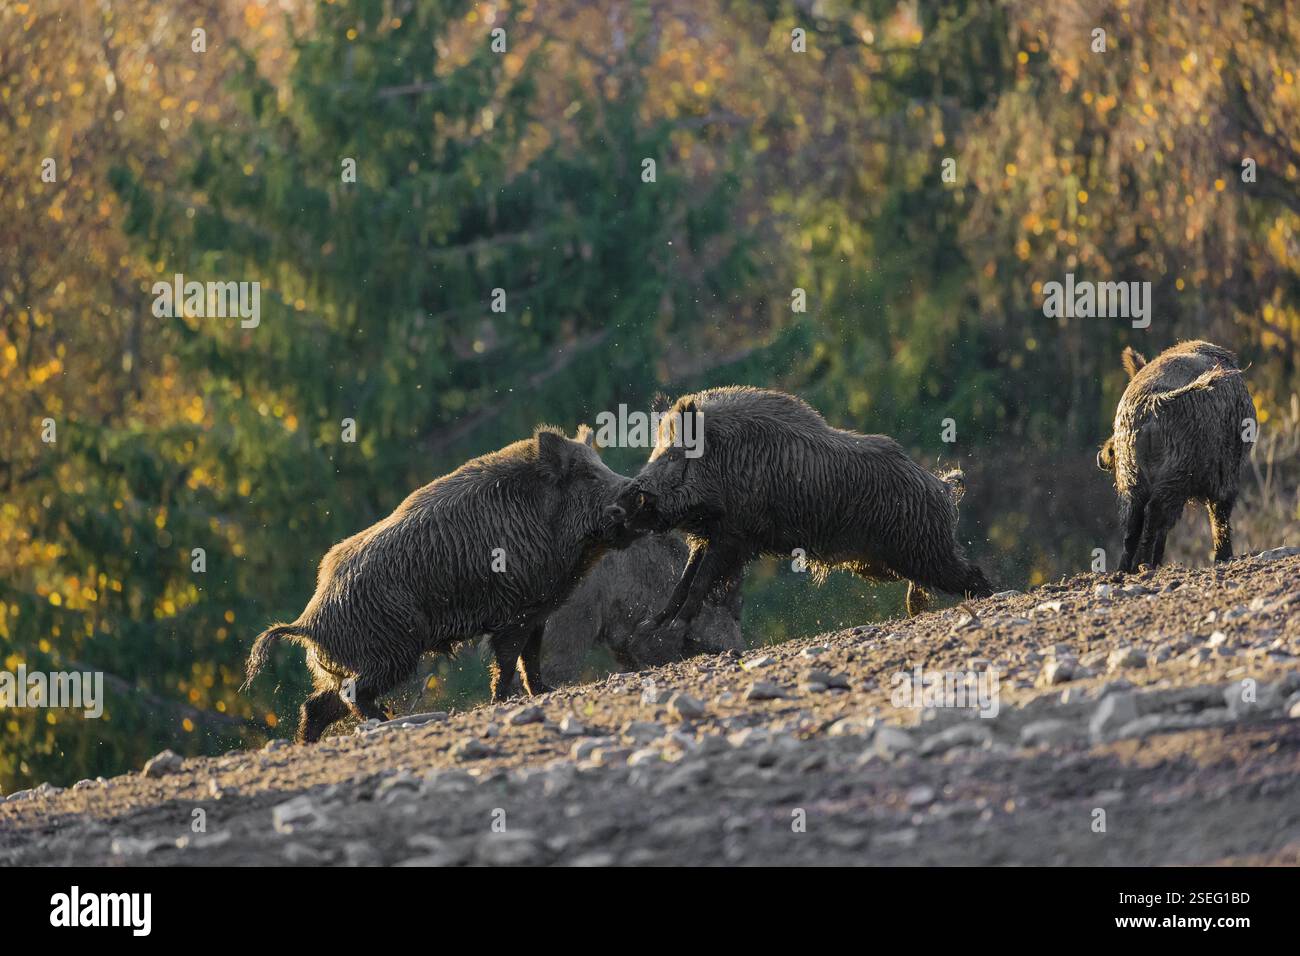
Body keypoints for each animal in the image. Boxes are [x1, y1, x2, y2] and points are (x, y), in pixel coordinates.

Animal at [242, 425, 636, 743]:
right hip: (392, 652)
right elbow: (508, 660)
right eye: (587, 474)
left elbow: (531, 659)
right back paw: (384, 719)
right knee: (349, 694)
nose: (632, 489)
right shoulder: (513, 615)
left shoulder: (537, 611)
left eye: (600, 466)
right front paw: (503, 700)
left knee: (316, 705)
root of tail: (307, 623)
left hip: (358, 662)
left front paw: (544, 691)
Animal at [607, 386, 993, 638]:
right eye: (655, 452)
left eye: (674, 455)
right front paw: (650, 626)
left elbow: (700, 581)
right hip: (888, 562)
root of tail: (941, 486)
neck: (724, 463)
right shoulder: (709, 538)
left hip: (924, 550)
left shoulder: (734, 537)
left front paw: (674, 629)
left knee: (971, 574)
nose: (619, 505)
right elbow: (683, 581)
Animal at [1097, 340, 1252, 572]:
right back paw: (1144, 566)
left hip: (1130, 473)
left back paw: (1126, 569)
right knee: (1154, 513)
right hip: (1178, 471)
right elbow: (1220, 514)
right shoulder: (1227, 474)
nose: (1101, 457)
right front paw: (1224, 558)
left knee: (1133, 521)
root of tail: (1155, 403)